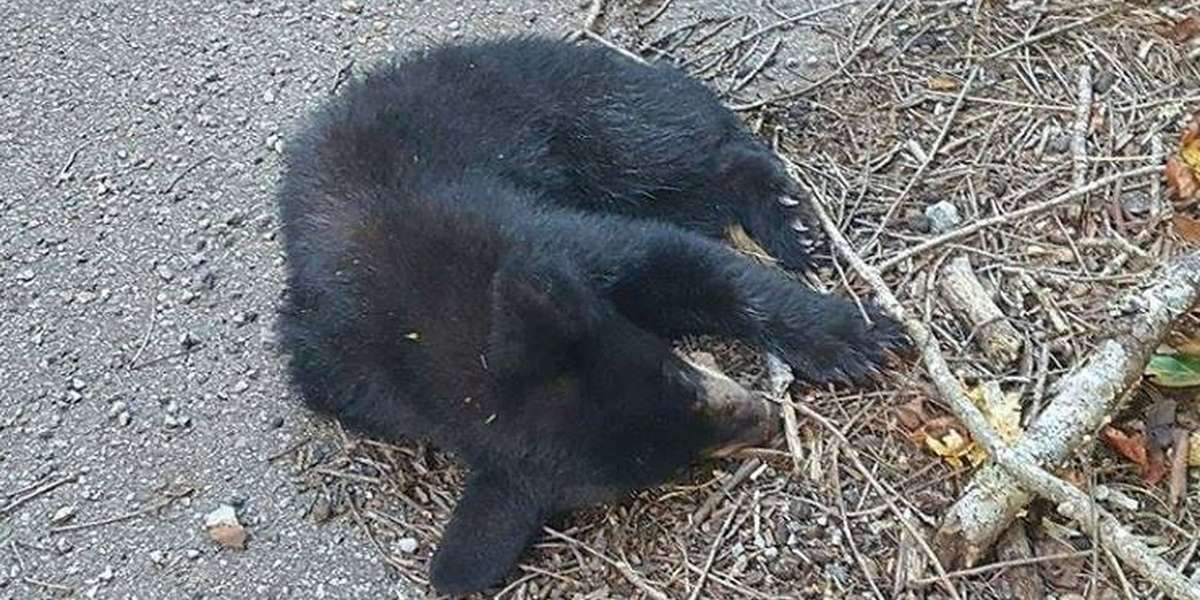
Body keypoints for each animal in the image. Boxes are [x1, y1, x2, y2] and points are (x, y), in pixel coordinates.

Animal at [276, 36, 905, 595]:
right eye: (677, 463)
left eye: (678, 374)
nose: (766, 418)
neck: (424, 325)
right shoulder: (350, 380)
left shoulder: (518, 234)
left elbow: (675, 262)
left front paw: (849, 336)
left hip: (563, 105)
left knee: (668, 145)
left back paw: (788, 219)